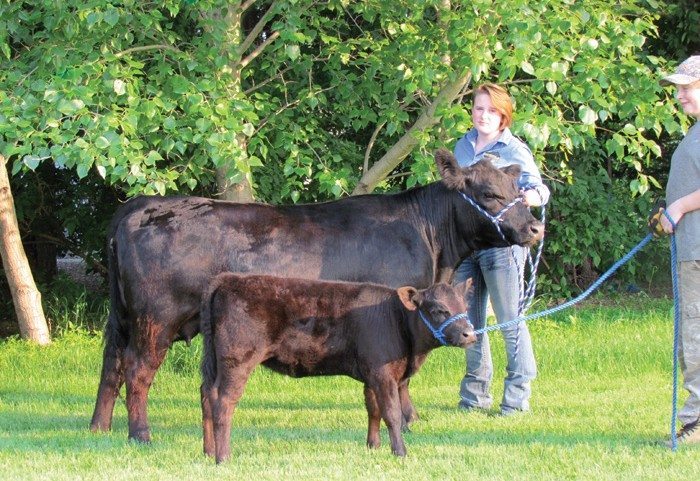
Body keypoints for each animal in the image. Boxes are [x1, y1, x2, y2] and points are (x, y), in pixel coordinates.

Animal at [200, 273, 476, 461]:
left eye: (465, 307)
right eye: (438, 309)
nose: (469, 334)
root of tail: (228, 279)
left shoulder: (371, 373)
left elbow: (373, 409)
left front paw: (373, 446)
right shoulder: (383, 374)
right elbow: (392, 413)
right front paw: (400, 452)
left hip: (213, 362)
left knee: (207, 396)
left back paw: (209, 452)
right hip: (237, 360)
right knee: (224, 402)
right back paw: (223, 457)